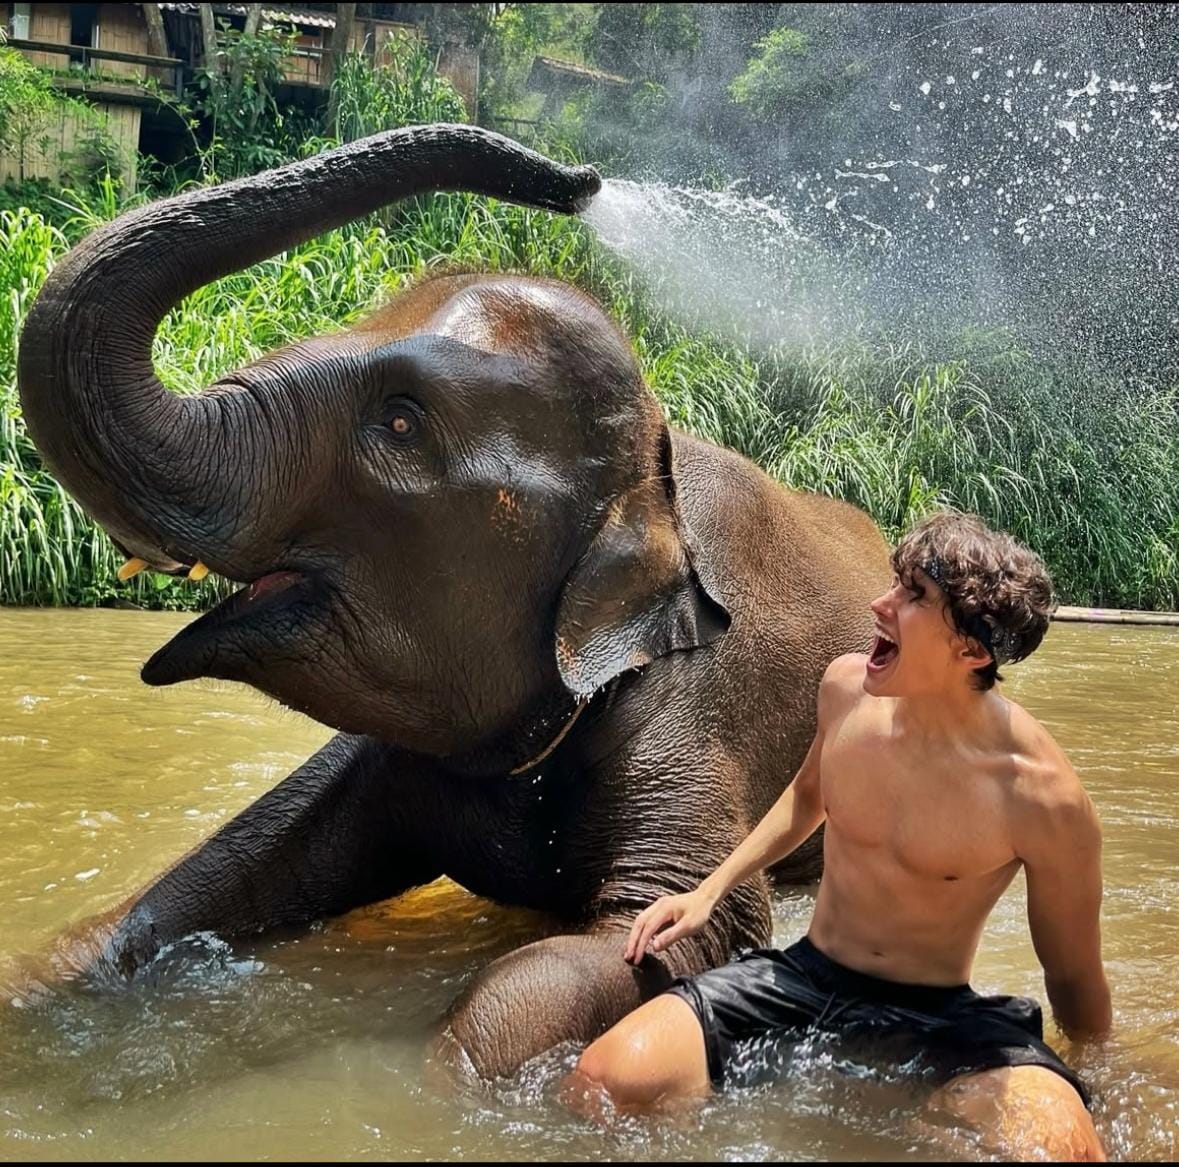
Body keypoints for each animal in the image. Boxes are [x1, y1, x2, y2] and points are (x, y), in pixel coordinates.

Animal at [17, 124, 891, 1080]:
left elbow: (675, 922)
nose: (583, 181)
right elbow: (227, 866)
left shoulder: (706, 699)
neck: (658, 473)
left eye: (400, 423)